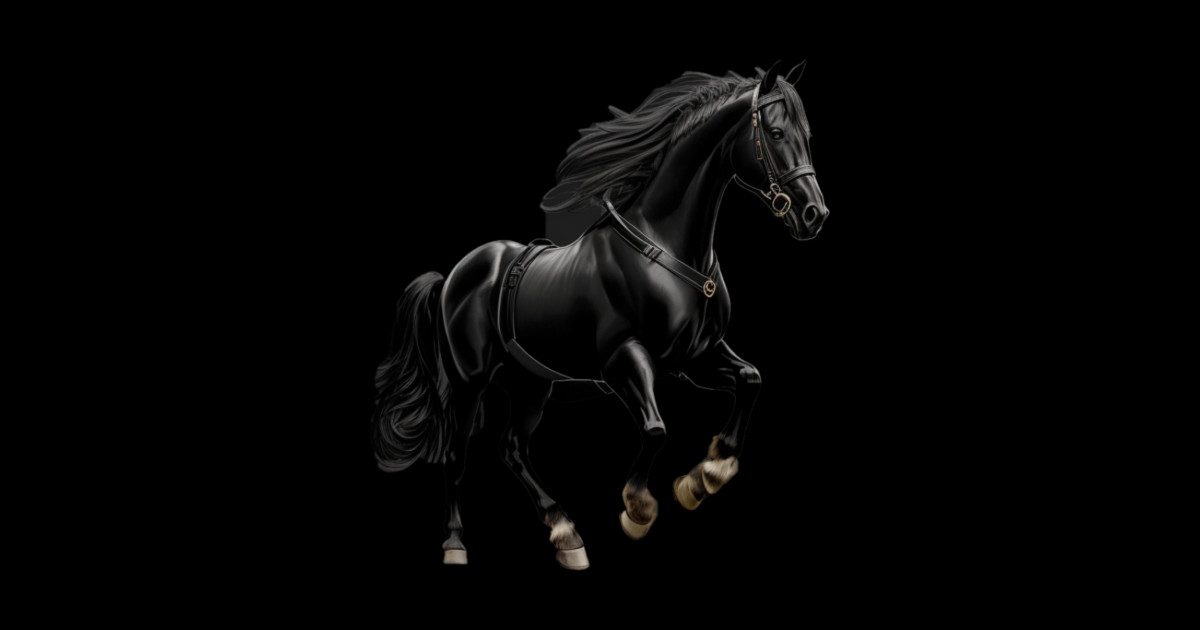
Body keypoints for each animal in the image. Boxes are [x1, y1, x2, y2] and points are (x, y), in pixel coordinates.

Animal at [372, 62, 830, 570]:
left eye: (806, 134)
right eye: (775, 132)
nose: (815, 214)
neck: (663, 247)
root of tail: (453, 276)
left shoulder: (696, 357)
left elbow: (751, 380)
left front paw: (705, 476)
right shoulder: (623, 360)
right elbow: (655, 430)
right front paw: (638, 510)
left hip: (531, 384)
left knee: (512, 449)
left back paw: (566, 533)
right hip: (468, 382)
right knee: (457, 455)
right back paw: (456, 545)